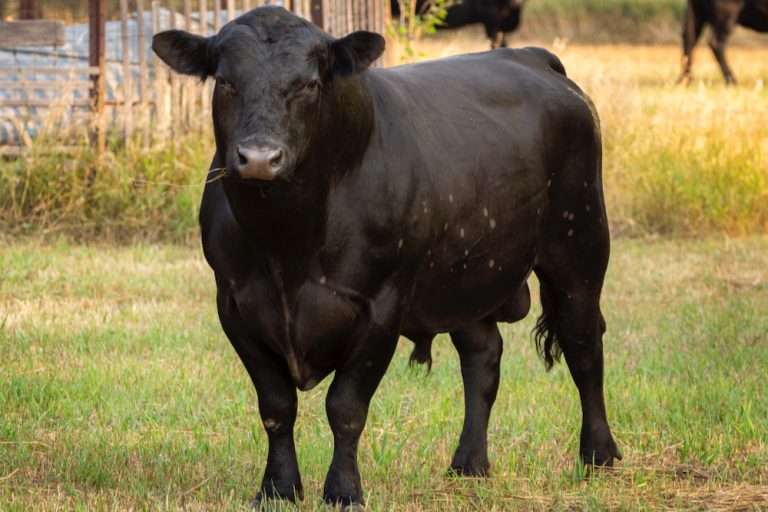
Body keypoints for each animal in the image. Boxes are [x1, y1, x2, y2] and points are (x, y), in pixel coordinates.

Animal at [152, 6, 620, 508]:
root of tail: (534, 57)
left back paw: (599, 454)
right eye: (225, 81)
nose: (260, 158)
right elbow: (276, 406)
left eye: (310, 84)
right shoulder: (236, 305)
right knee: (482, 358)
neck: (287, 249)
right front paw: (278, 489)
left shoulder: (380, 305)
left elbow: (345, 406)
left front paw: (343, 491)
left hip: (579, 248)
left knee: (583, 346)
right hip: (463, 277)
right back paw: (469, 463)